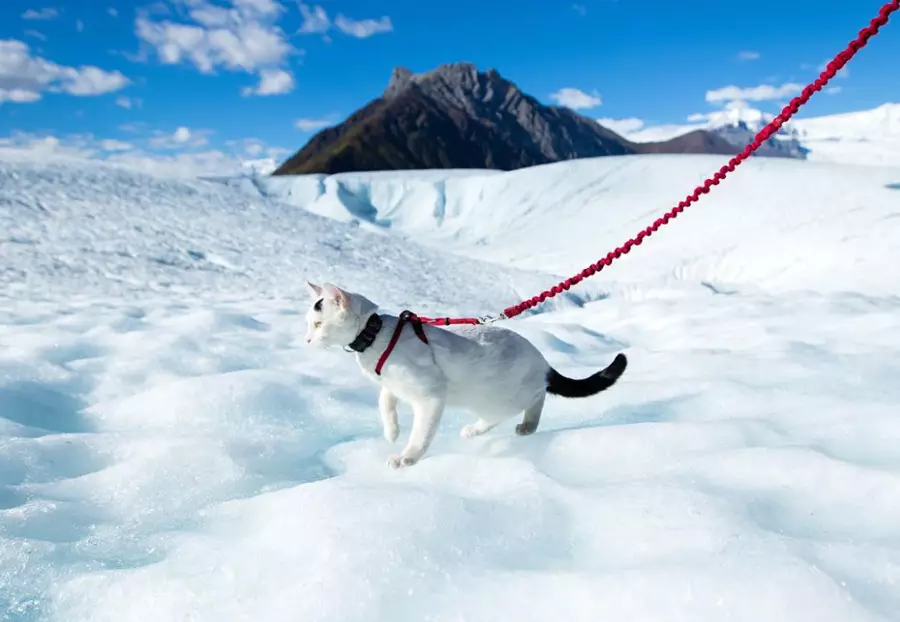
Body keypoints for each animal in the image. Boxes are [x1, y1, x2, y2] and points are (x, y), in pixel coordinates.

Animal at [302, 282, 624, 468]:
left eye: (317, 324)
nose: (306, 339)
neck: (375, 336)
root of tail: (541, 360)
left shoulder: (430, 395)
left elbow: (421, 434)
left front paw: (407, 457)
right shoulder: (392, 386)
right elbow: (385, 402)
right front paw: (391, 432)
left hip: (503, 396)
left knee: (537, 397)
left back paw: (526, 426)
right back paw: (473, 430)